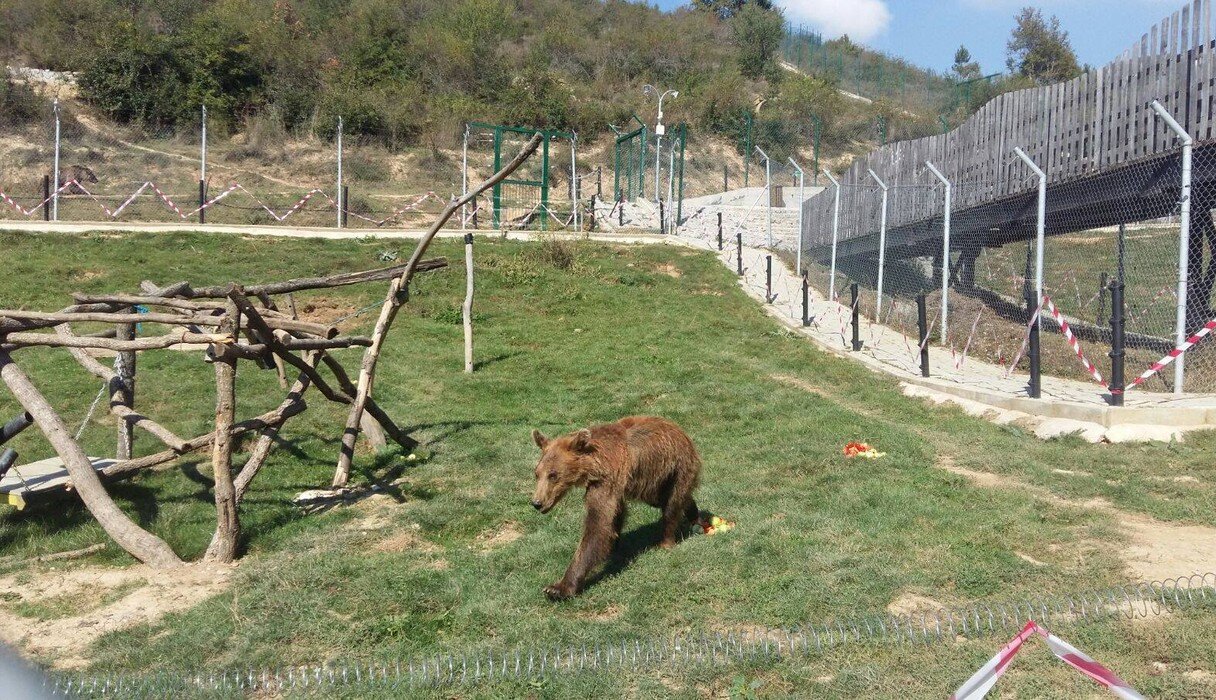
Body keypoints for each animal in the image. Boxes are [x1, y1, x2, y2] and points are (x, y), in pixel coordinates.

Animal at [530, 415, 701, 600]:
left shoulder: (607, 480)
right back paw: (694, 514)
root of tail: (680, 430)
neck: (593, 466)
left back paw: (666, 541)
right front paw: (613, 548)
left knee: (671, 504)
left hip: (675, 468)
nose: (537, 502)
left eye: (553, 475)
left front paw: (558, 588)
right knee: (667, 500)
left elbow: (597, 527)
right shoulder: (610, 485)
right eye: (537, 473)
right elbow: (613, 517)